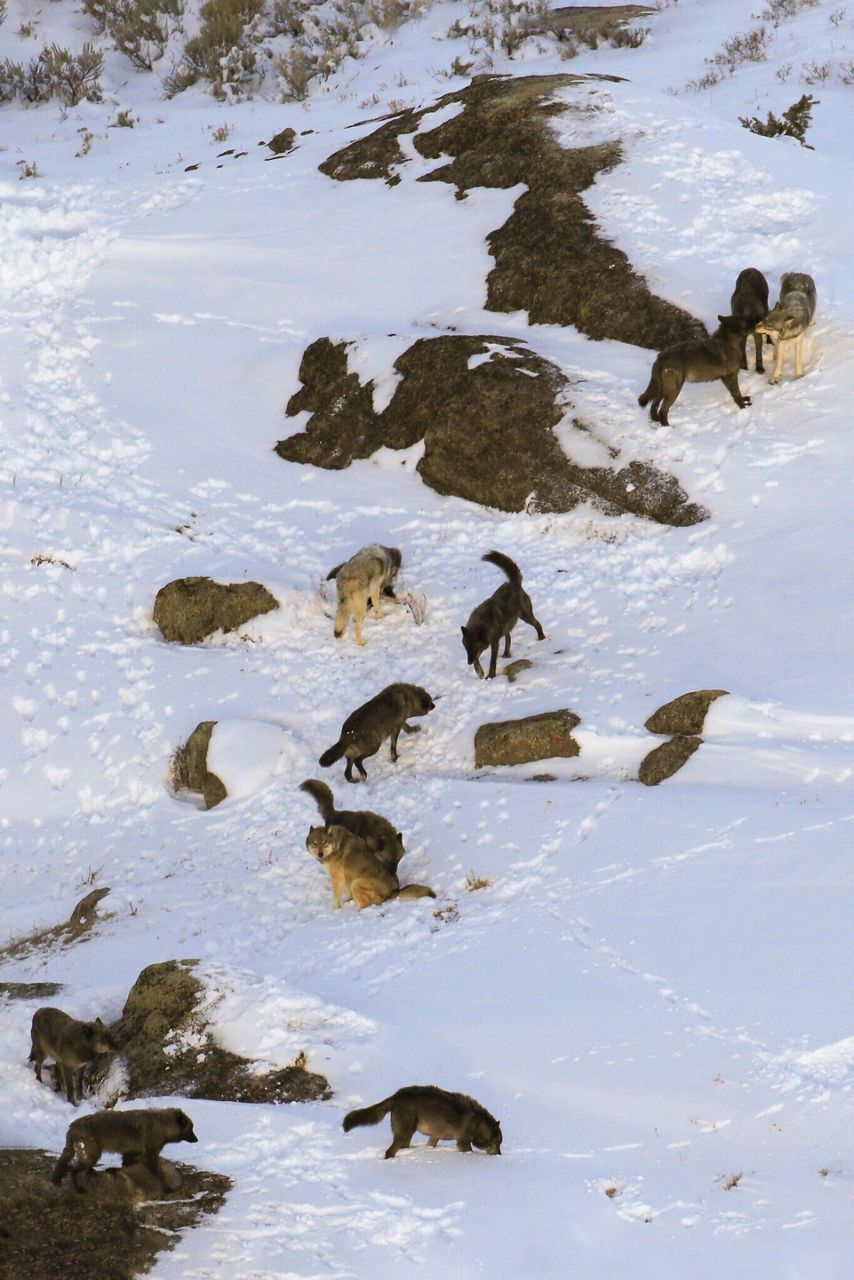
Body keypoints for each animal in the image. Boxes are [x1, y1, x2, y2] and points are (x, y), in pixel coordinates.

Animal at [52, 1107, 198, 1191]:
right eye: (191, 1128)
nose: (196, 1139)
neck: (162, 1127)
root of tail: (72, 1128)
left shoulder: (131, 1150)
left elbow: (127, 1162)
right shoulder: (151, 1148)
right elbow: (156, 1169)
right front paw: (166, 1187)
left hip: (78, 1148)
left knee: (66, 1161)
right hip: (91, 1149)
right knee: (75, 1168)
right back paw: (78, 1187)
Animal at [306, 824, 434, 908]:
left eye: (324, 843)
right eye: (315, 844)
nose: (320, 854)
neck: (337, 845)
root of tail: (394, 891)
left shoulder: (338, 878)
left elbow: (336, 898)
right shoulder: (346, 878)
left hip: (356, 882)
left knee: (367, 904)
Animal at [343, 1085, 502, 1159]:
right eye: (498, 1143)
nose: (500, 1155)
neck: (479, 1123)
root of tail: (396, 1095)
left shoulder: (435, 1136)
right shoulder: (463, 1142)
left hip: (406, 1136)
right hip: (405, 1133)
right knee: (389, 1151)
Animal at [461, 551, 545, 680]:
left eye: (474, 648)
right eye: (466, 648)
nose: (468, 662)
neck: (482, 623)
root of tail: (513, 583)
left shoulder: (494, 643)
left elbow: (492, 661)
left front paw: (491, 676)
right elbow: (477, 660)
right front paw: (479, 672)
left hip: (526, 617)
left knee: (537, 624)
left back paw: (541, 638)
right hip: (507, 625)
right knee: (509, 638)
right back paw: (506, 654)